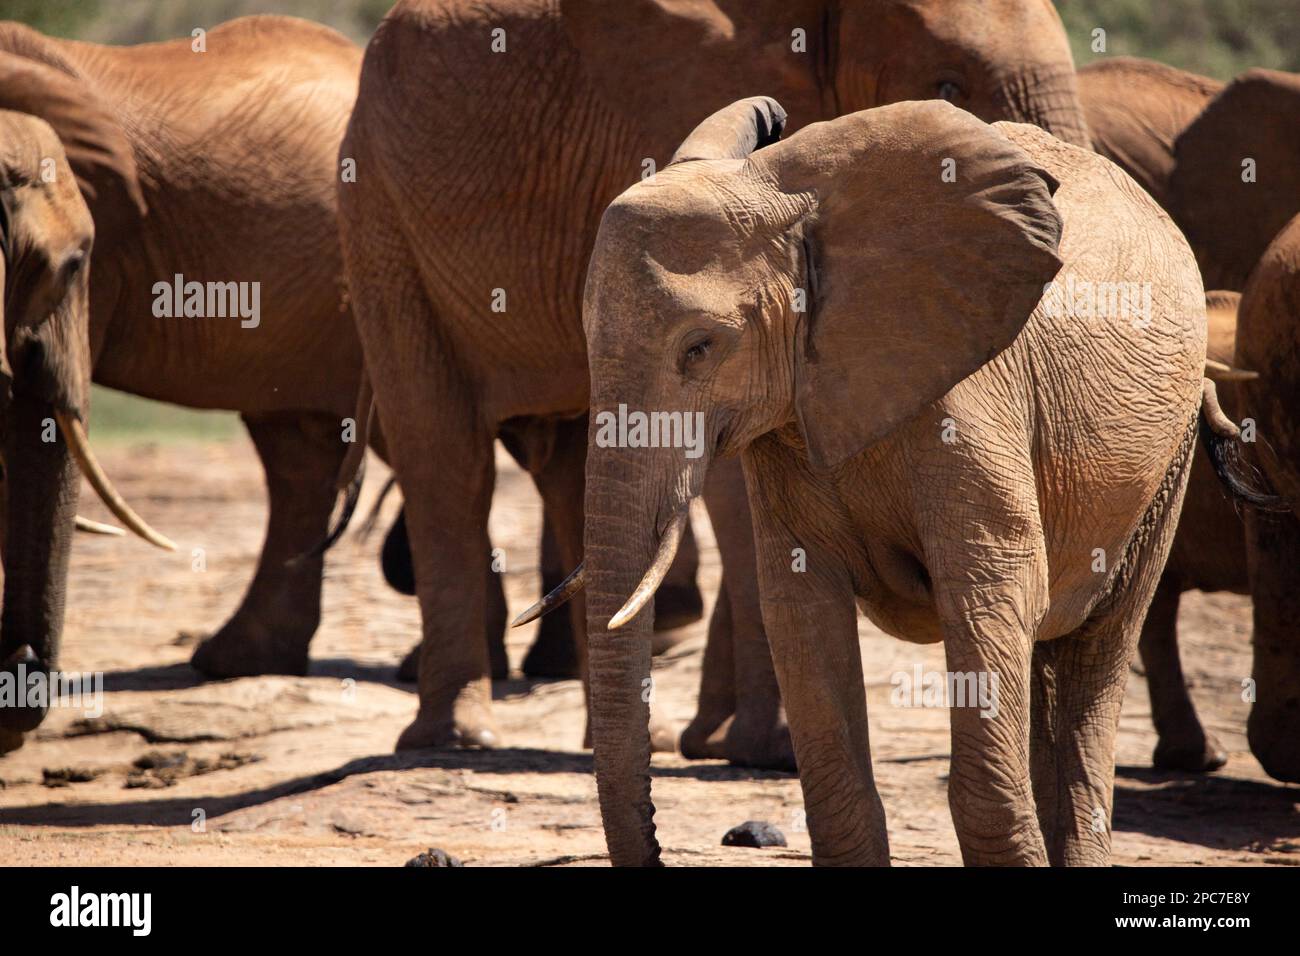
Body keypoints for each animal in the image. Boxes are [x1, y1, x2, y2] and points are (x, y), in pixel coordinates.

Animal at [339, 0, 1092, 756]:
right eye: (948, 86)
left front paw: (724, 745)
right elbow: (734, 492)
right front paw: (766, 751)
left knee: (564, 472)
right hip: (382, 224)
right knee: (445, 457)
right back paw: (458, 739)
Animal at [554, 95, 1228, 866]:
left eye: (699, 348)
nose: (661, 847)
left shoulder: (972, 396)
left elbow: (991, 590)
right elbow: (800, 608)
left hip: (1169, 451)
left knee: (1099, 643)